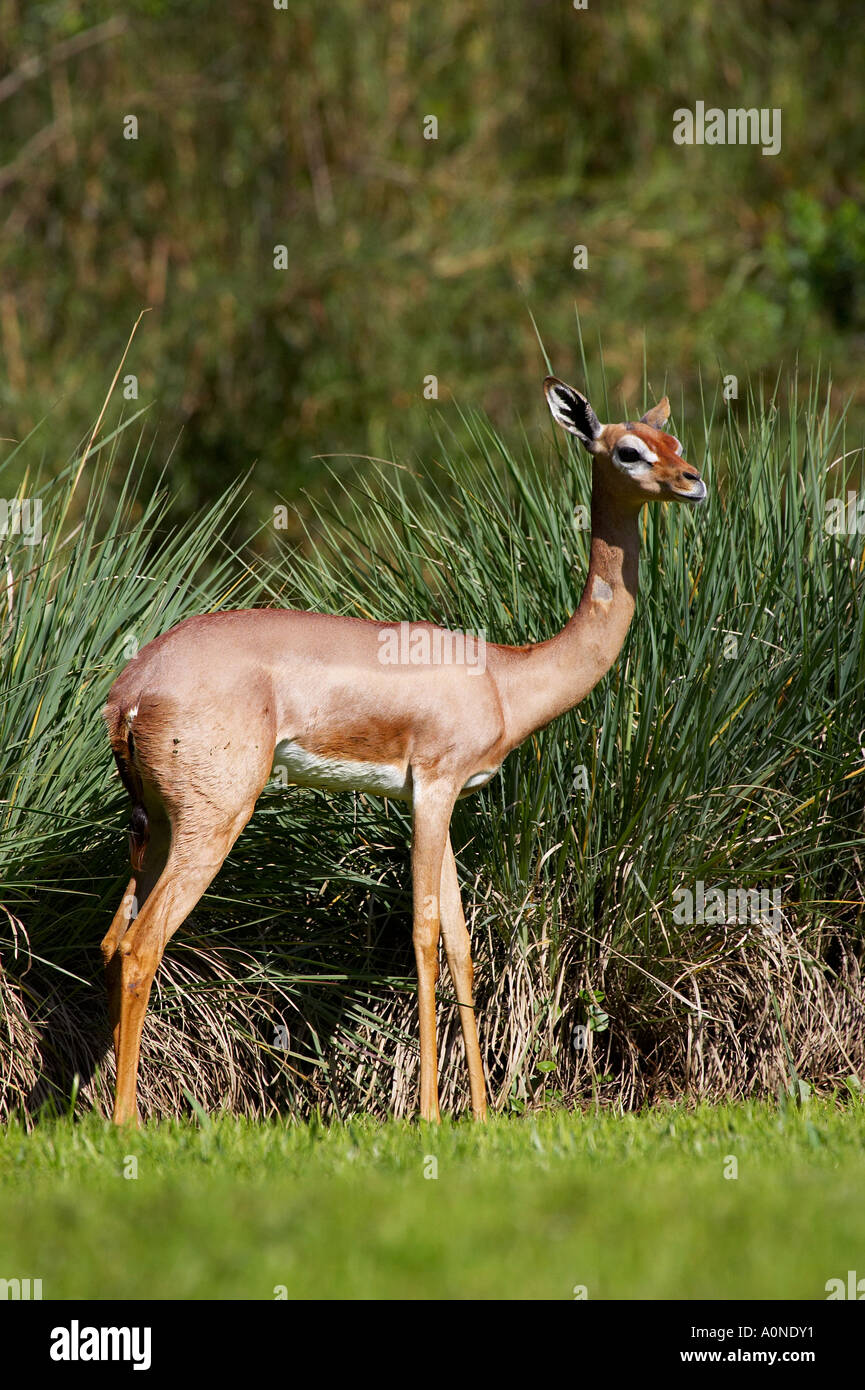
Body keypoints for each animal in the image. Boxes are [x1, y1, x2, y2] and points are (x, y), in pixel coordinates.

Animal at [101, 377, 706, 1125]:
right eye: (627, 450)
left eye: (671, 439)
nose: (692, 480)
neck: (503, 676)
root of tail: (132, 687)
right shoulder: (433, 789)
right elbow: (423, 936)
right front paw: (429, 1114)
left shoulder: (444, 801)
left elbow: (462, 942)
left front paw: (481, 1113)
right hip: (213, 820)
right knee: (142, 946)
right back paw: (127, 1122)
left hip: (157, 828)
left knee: (113, 942)